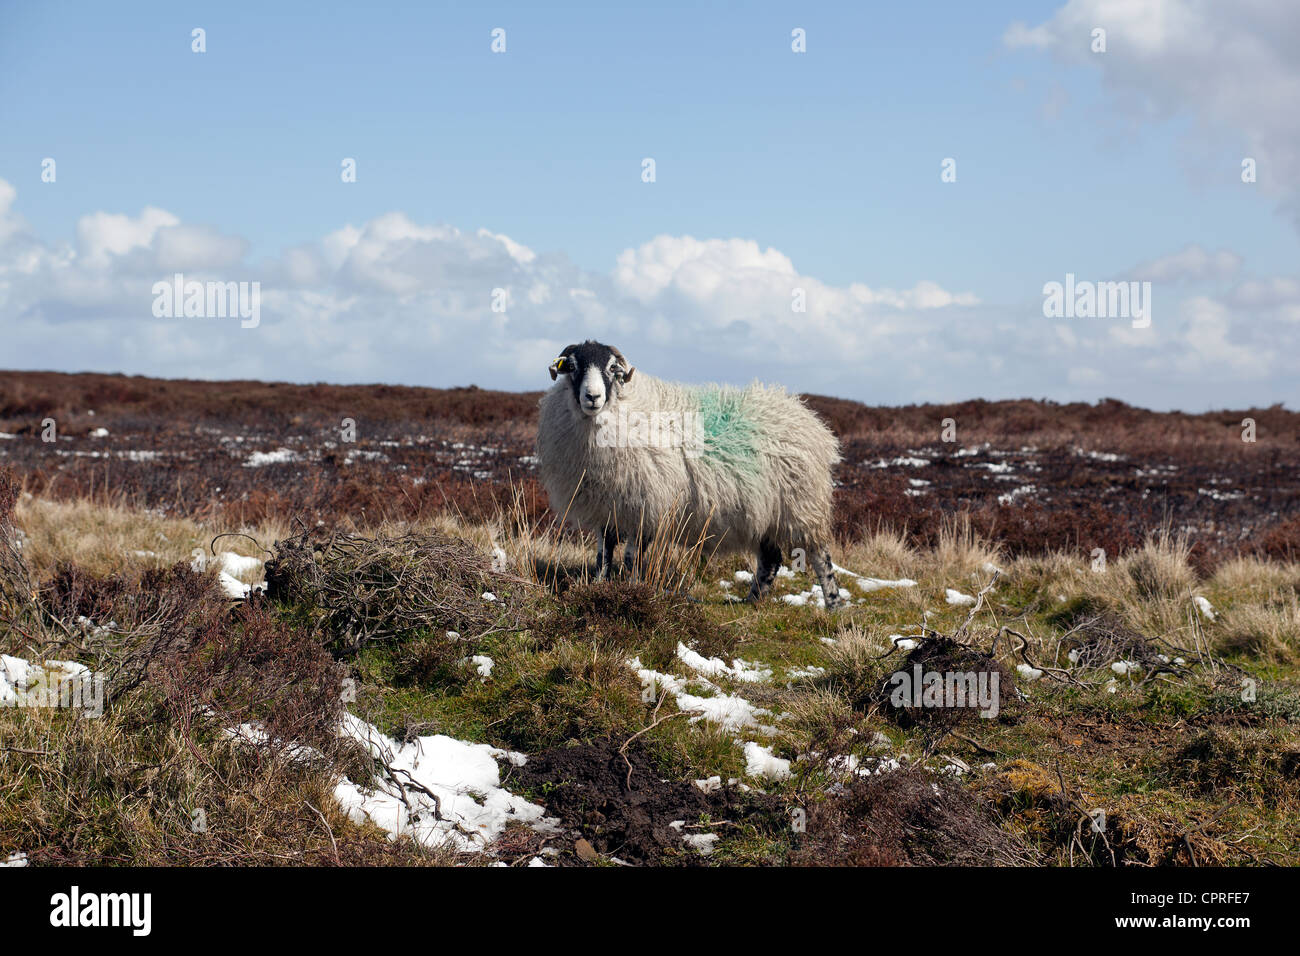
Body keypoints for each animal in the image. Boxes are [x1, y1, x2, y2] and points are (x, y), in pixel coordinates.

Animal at [536, 340, 846, 608]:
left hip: (802, 504)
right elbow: (603, 554)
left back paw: (833, 605)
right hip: (764, 510)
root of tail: (806, 417)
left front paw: (632, 590)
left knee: (819, 556)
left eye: (613, 368)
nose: (593, 397)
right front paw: (598, 587)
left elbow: (631, 558)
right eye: (572, 366)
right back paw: (751, 602)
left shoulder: (649, 504)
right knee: (771, 558)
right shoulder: (606, 505)